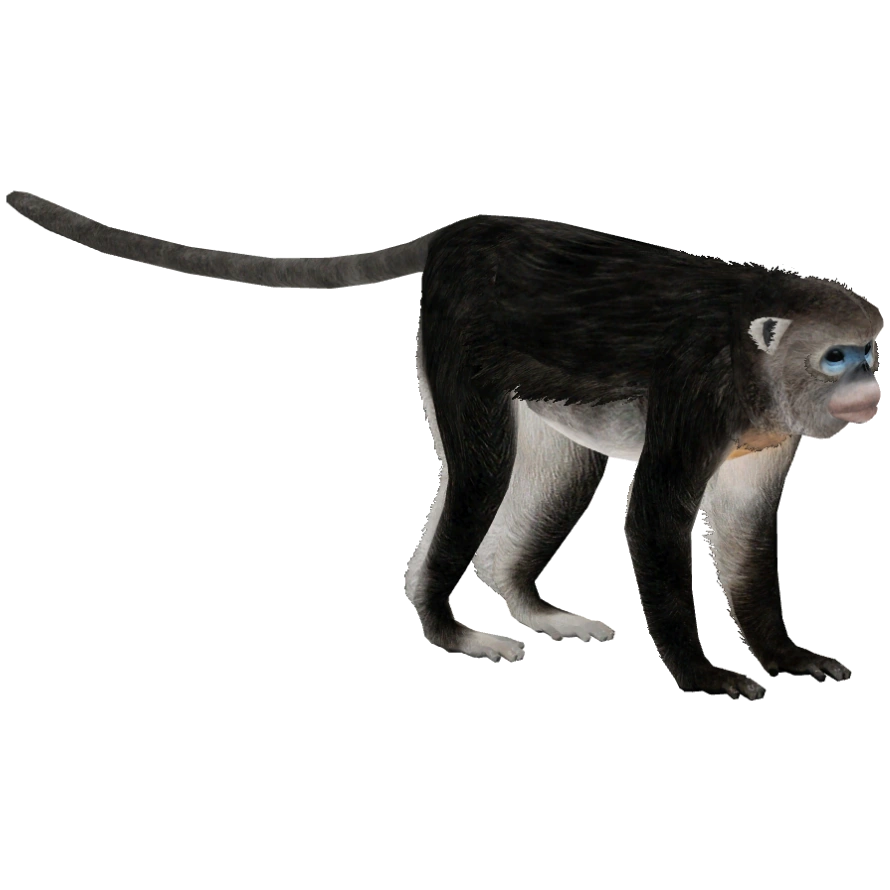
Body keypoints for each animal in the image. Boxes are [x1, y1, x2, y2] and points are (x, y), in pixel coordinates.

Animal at [5, 191, 883, 700]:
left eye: (870, 349)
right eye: (837, 356)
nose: (868, 381)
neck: (757, 352)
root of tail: (466, 232)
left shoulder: (764, 429)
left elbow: (743, 532)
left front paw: (783, 653)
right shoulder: (702, 392)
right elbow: (659, 518)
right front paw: (699, 675)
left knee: (559, 466)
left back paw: (524, 600)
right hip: (461, 333)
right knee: (481, 472)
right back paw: (447, 627)